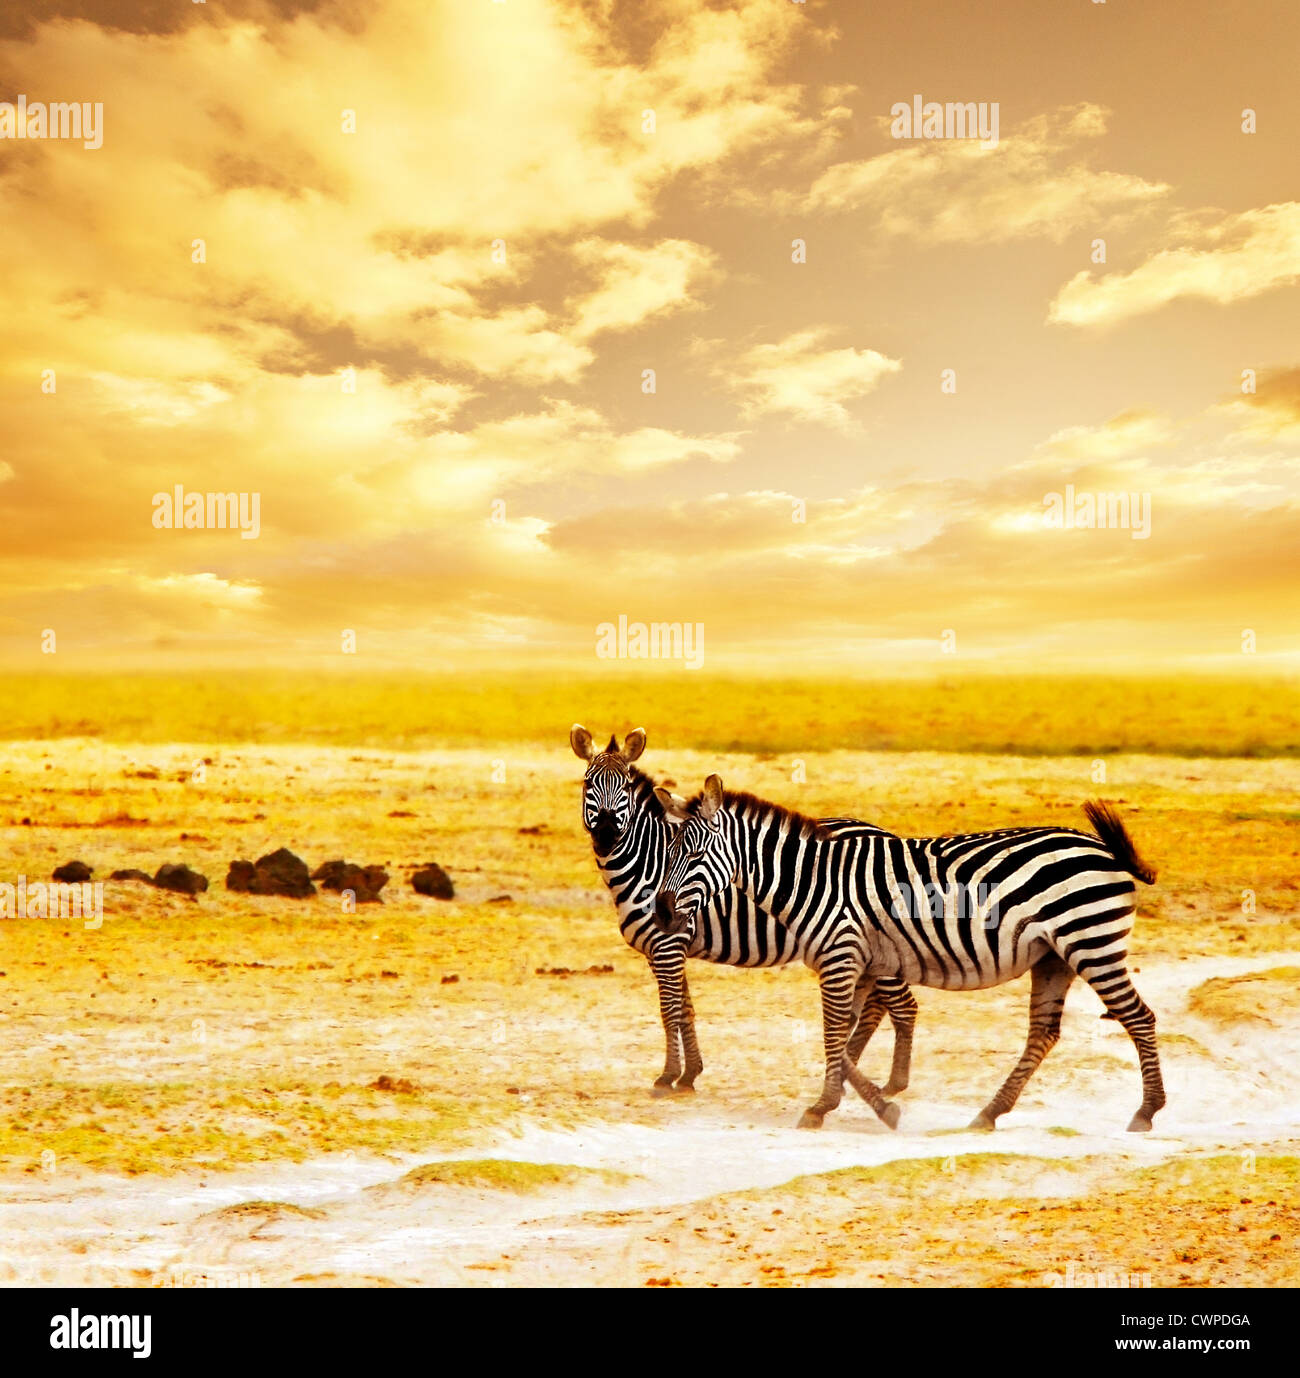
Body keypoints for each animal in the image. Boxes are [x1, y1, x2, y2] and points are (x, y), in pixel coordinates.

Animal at [571, 726, 916, 1118]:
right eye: (587, 783)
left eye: (626, 786)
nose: (606, 834)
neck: (648, 861)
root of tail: (886, 833)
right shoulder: (670, 945)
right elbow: (686, 1009)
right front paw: (689, 1075)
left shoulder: (667, 945)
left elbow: (669, 1010)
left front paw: (667, 1076)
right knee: (877, 1007)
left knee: (900, 1006)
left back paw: (886, 1084)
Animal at [654, 775, 1165, 1133]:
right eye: (669, 853)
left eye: (695, 855)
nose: (660, 912)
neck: (812, 883)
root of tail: (1102, 848)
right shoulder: (856, 965)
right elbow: (843, 1042)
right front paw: (866, 1101)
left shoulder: (840, 958)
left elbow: (834, 1035)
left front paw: (828, 1106)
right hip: (1053, 957)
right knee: (1043, 1033)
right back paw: (989, 1112)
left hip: (1091, 944)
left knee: (1139, 1018)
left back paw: (1146, 1111)